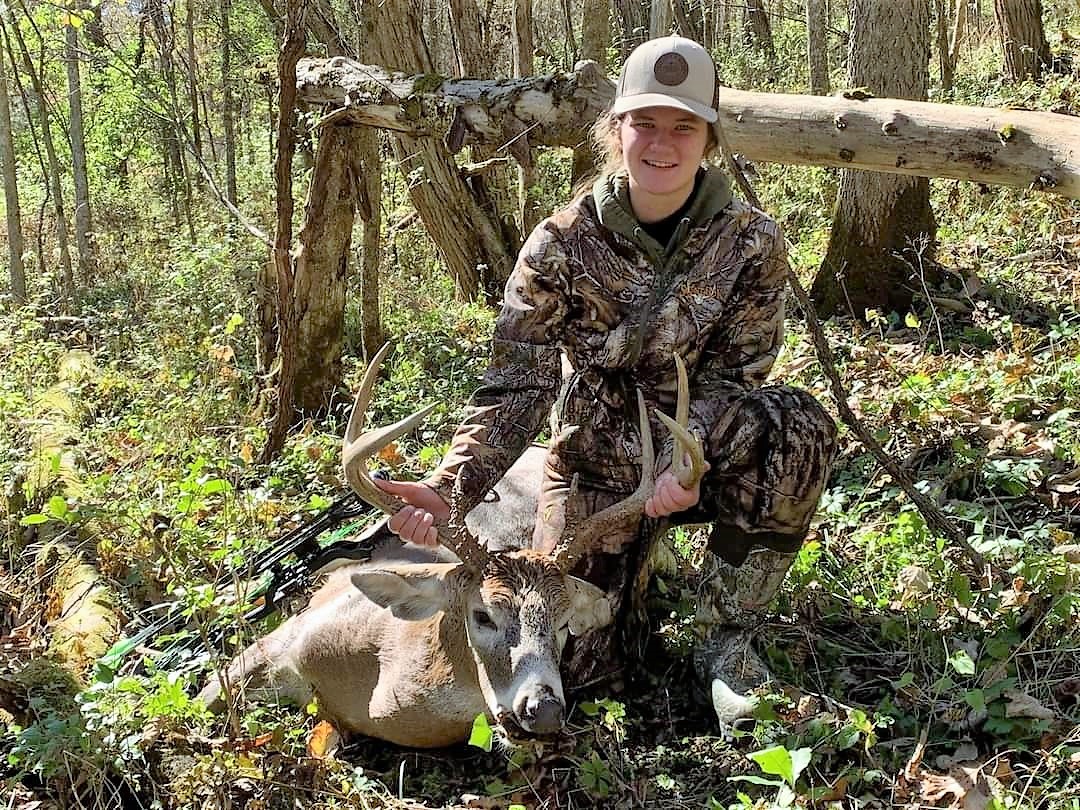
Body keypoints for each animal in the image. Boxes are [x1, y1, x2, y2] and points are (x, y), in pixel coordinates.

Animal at [198, 345, 705, 748]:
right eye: (482, 615)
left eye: (564, 624)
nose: (542, 711)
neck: (373, 679)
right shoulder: (283, 634)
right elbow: (204, 695)